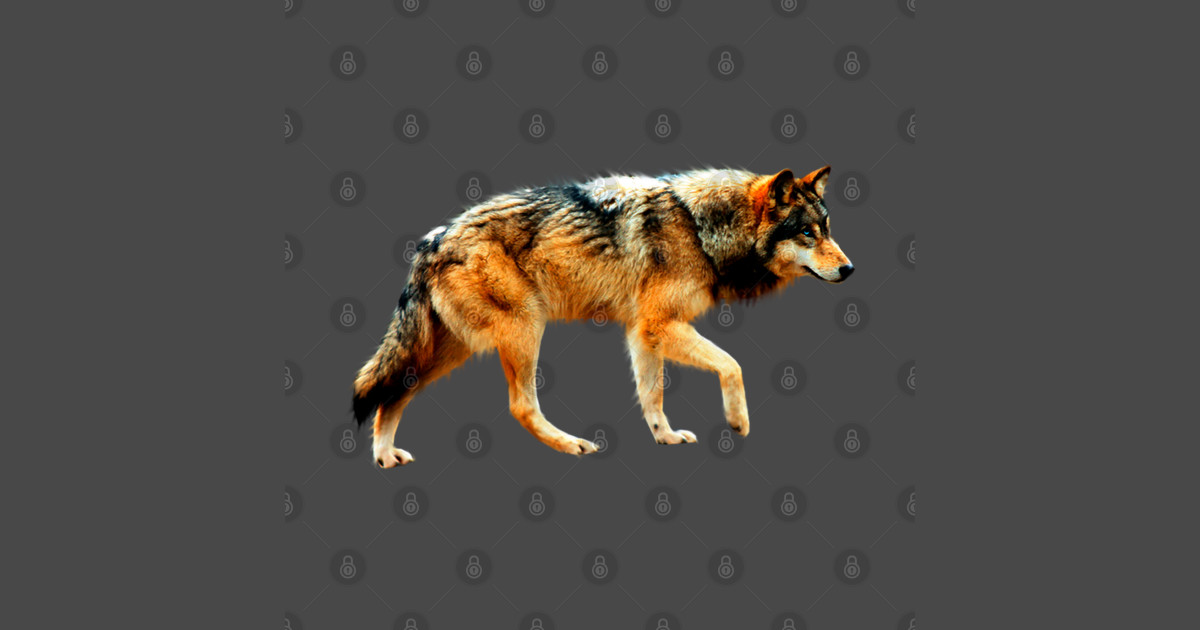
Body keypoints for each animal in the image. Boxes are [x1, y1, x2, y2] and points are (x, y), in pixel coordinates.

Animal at [352, 166, 853, 468]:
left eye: (828, 229)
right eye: (807, 233)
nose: (850, 269)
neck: (701, 227)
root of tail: (432, 240)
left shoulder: (643, 333)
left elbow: (653, 397)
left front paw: (665, 438)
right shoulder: (658, 325)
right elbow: (733, 365)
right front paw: (737, 422)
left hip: (448, 350)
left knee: (392, 394)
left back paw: (384, 456)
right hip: (523, 329)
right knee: (521, 406)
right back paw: (571, 443)